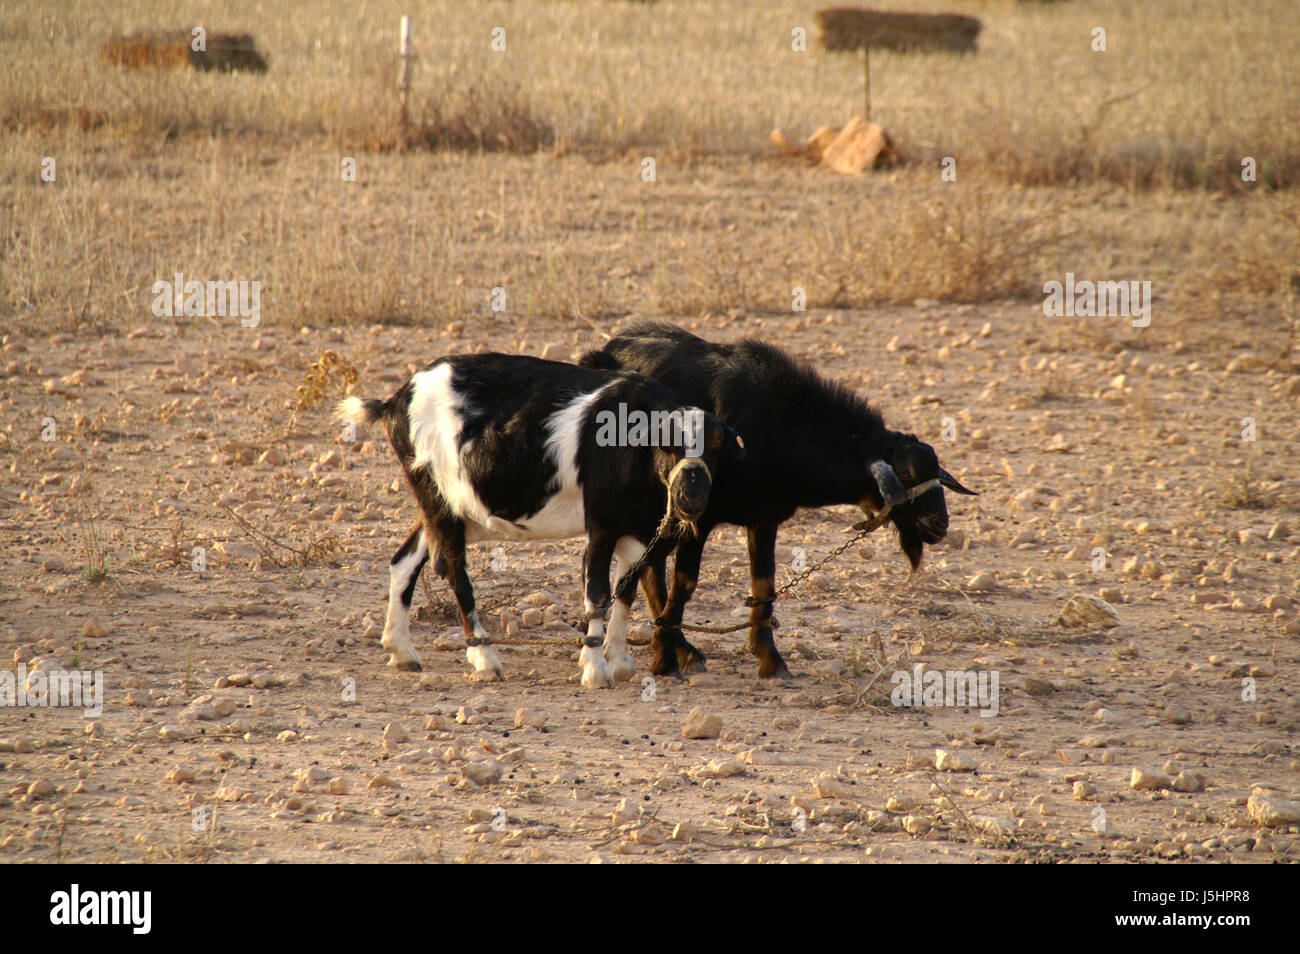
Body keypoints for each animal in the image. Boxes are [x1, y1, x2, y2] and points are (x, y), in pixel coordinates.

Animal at [336, 352, 745, 687]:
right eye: (667, 444)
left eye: (716, 446)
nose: (691, 495)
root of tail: (394, 401)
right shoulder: (601, 524)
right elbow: (598, 591)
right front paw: (595, 668)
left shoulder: (636, 532)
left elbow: (626, 589)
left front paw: (619, 659)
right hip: (437, 495)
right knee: (453, 570)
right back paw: (484, 658)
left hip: (447, 505)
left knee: (404, 559)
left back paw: (401, 650)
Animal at [580, 321, 976, 679]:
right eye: (906, 474)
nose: (939, 523)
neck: (774, 430)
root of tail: (604, 351)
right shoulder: (698, 519)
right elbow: (686, 585)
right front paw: (664, 662)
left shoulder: (764, 520)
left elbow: (764, 586)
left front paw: (771, 661)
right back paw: (681, 651)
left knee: (648, 568)